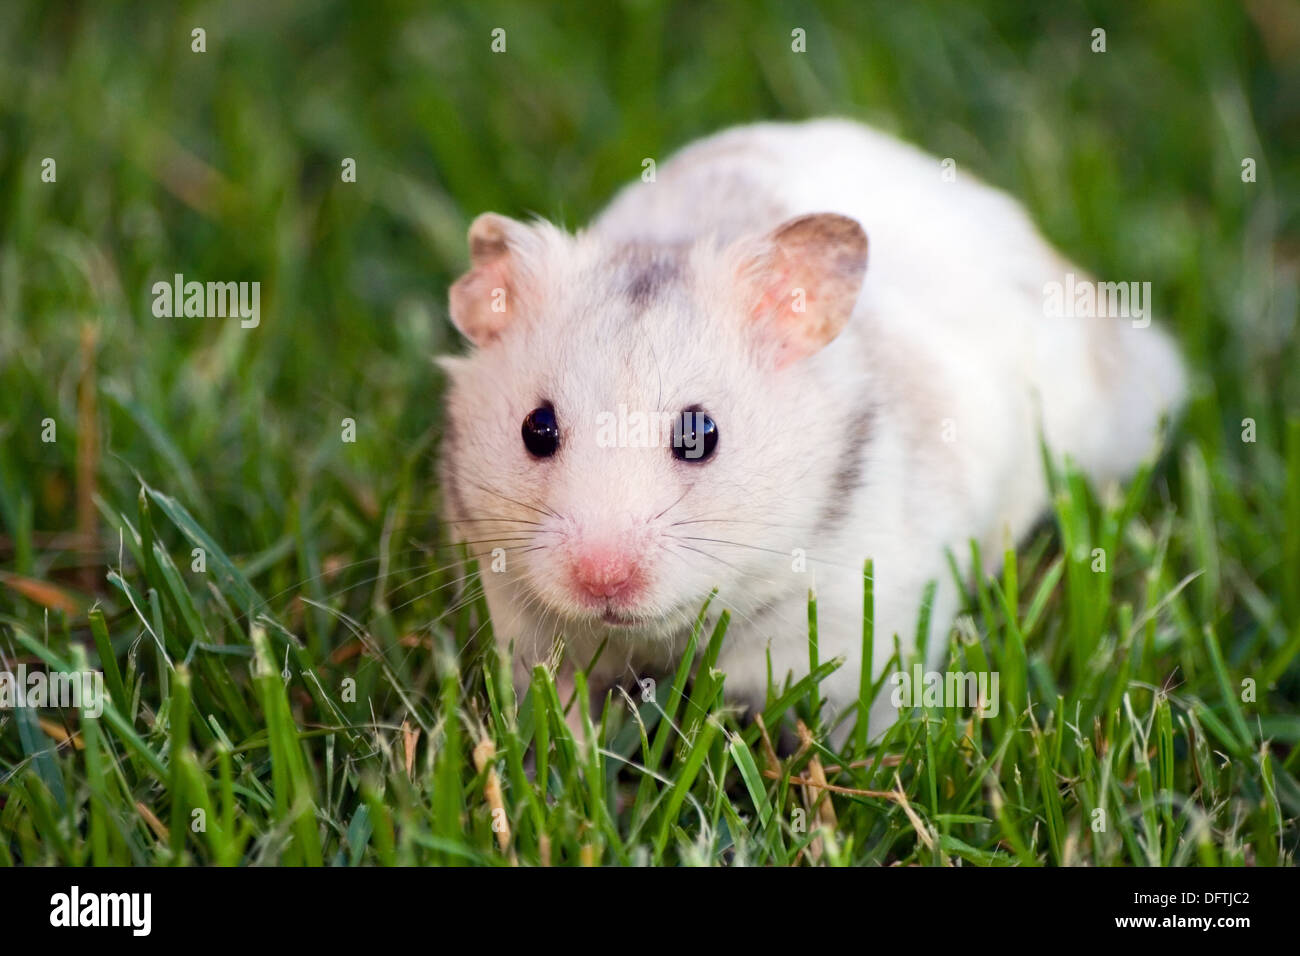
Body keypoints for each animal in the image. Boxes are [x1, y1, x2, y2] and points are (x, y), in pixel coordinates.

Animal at [437, 118, 1186, 741]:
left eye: (699, 434)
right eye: (537, 429)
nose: (601, 580)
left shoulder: (868, 622)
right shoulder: (526, 626)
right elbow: (560, 712)